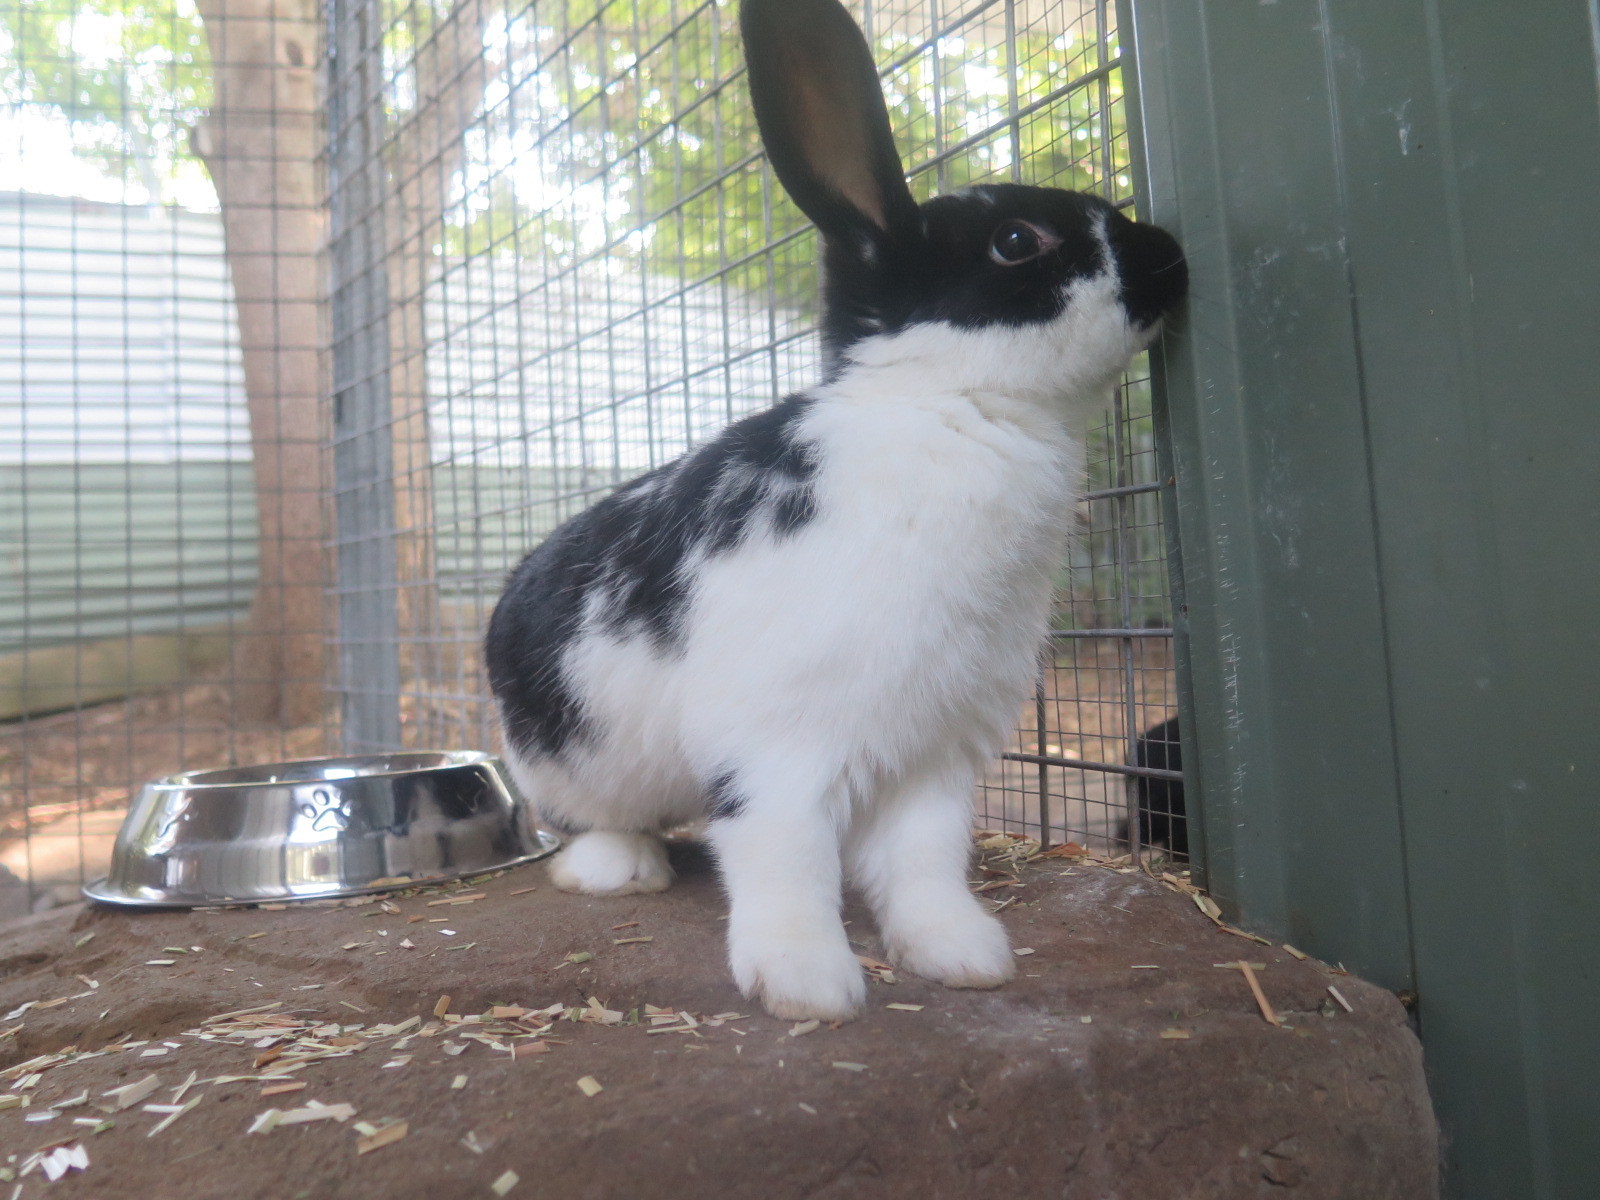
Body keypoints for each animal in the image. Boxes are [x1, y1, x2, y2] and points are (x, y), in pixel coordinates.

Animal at [485, 0, 1188, 1021]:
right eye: (1019, 241)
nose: (1171, 254)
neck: (952, 405)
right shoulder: (776, 751)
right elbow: (787, 862)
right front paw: (808, 984)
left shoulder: (937, 756)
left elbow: (926, 865)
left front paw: (964, 955)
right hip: (563, 757)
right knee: (596, 822)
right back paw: (621, 871)